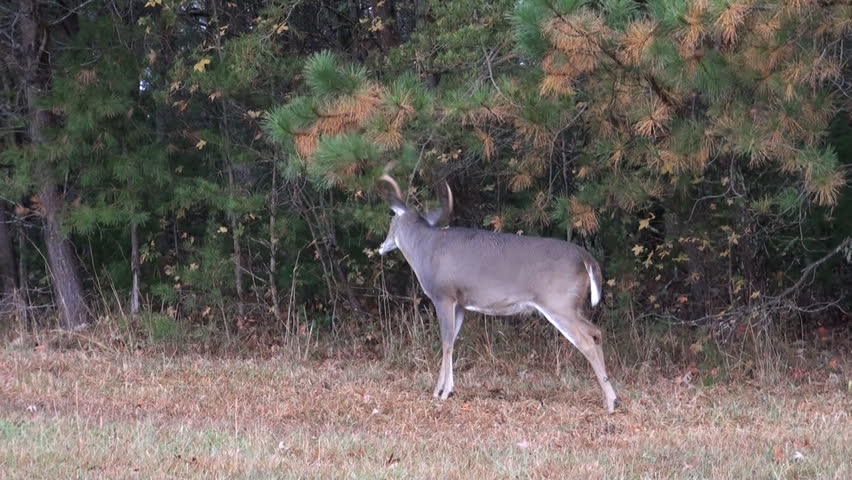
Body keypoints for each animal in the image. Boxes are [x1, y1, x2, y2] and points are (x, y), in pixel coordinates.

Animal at [377, 171, 620, 412]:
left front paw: (442, 392)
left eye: (391, 220)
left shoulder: (443, 295)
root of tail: (586, 259)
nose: (381, 246)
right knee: (597, 331)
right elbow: (452, 341)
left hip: (558, 303)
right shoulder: (461, 303)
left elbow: (445, 341)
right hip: (573, 305)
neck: (424, 249)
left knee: (587, 340)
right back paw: (609, 397)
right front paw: (444, 389)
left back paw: (611, 402)